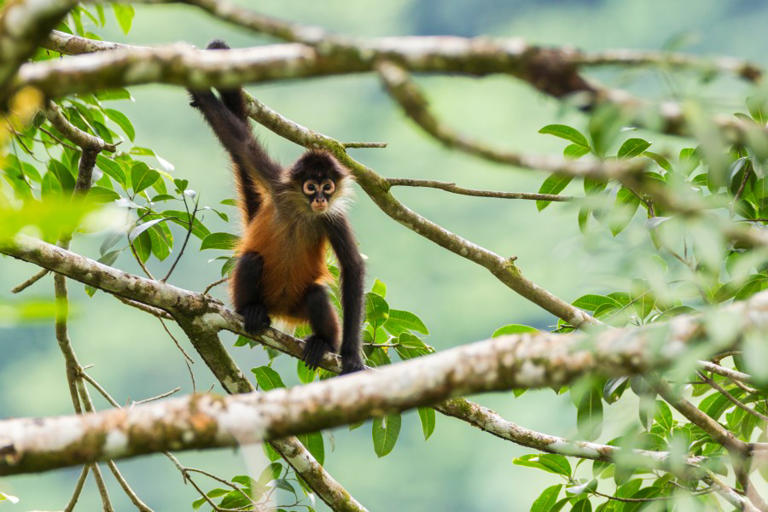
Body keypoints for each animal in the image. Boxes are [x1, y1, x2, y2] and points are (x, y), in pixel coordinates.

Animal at [188, 40, 366, 374]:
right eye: (310, 186)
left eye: (328, 186)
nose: (320, 199)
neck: (302, 211)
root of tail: (280, 308)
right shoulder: (277, 183)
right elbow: (239, 142)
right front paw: (198, 90)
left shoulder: (333, 217)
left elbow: (352, 267)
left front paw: (351, 356)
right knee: (251, 260)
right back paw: (251, 311)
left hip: (300, 305)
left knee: (317, 293)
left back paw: (324, 342)